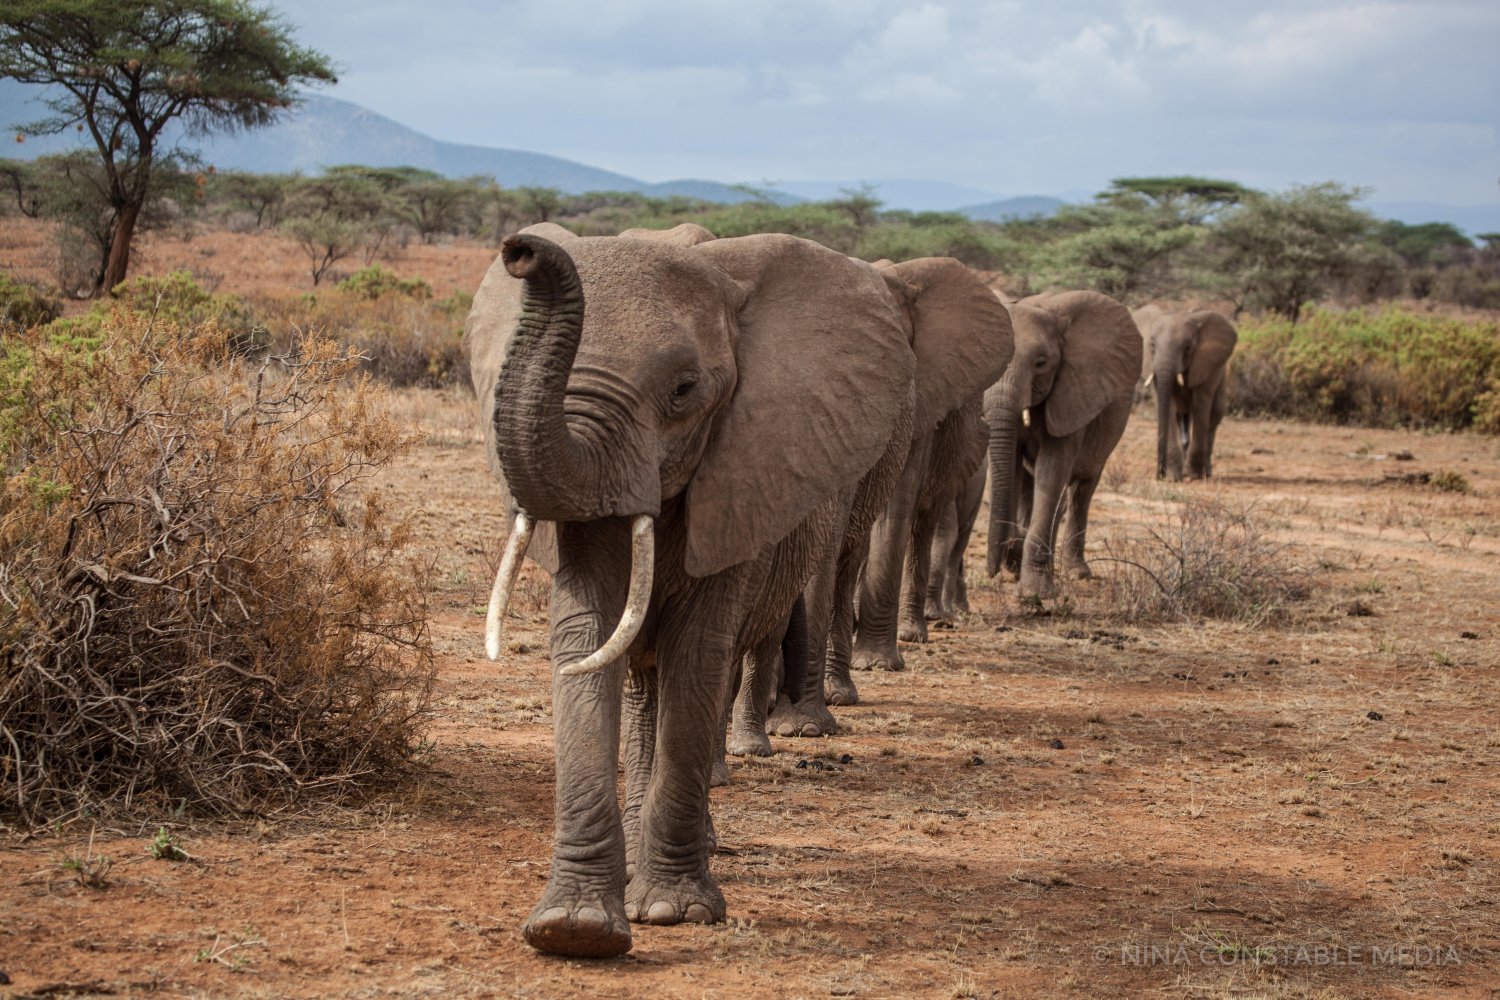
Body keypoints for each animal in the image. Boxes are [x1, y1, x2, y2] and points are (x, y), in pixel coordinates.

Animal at [465, 222, 920, 958]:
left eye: (683, 390)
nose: (522, 248)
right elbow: (588, 637)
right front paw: (574, 930)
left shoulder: (742, 474)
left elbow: (700, 649)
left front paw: (672, 912)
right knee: (644, 688)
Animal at [986, 291, 1143, 599]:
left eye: (1041, 363)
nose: (992, 572)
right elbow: (1013, 468)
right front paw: (1015, 560)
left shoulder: (1074, 394)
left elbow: (1053, 469)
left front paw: (1035, 592)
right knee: (1031, 485)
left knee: (1081, 488)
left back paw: (1076, 573)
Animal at [1141, 310, 1237, 481]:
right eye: (1151, 345)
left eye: (1188, 347)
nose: (1159, 474)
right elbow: (1167, 406)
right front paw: (1173, 478)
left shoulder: (1204, 365)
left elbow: (1200, 406)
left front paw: (1195, 475)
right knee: (1182, 419)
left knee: (1214, 417)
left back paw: (1205, 472)